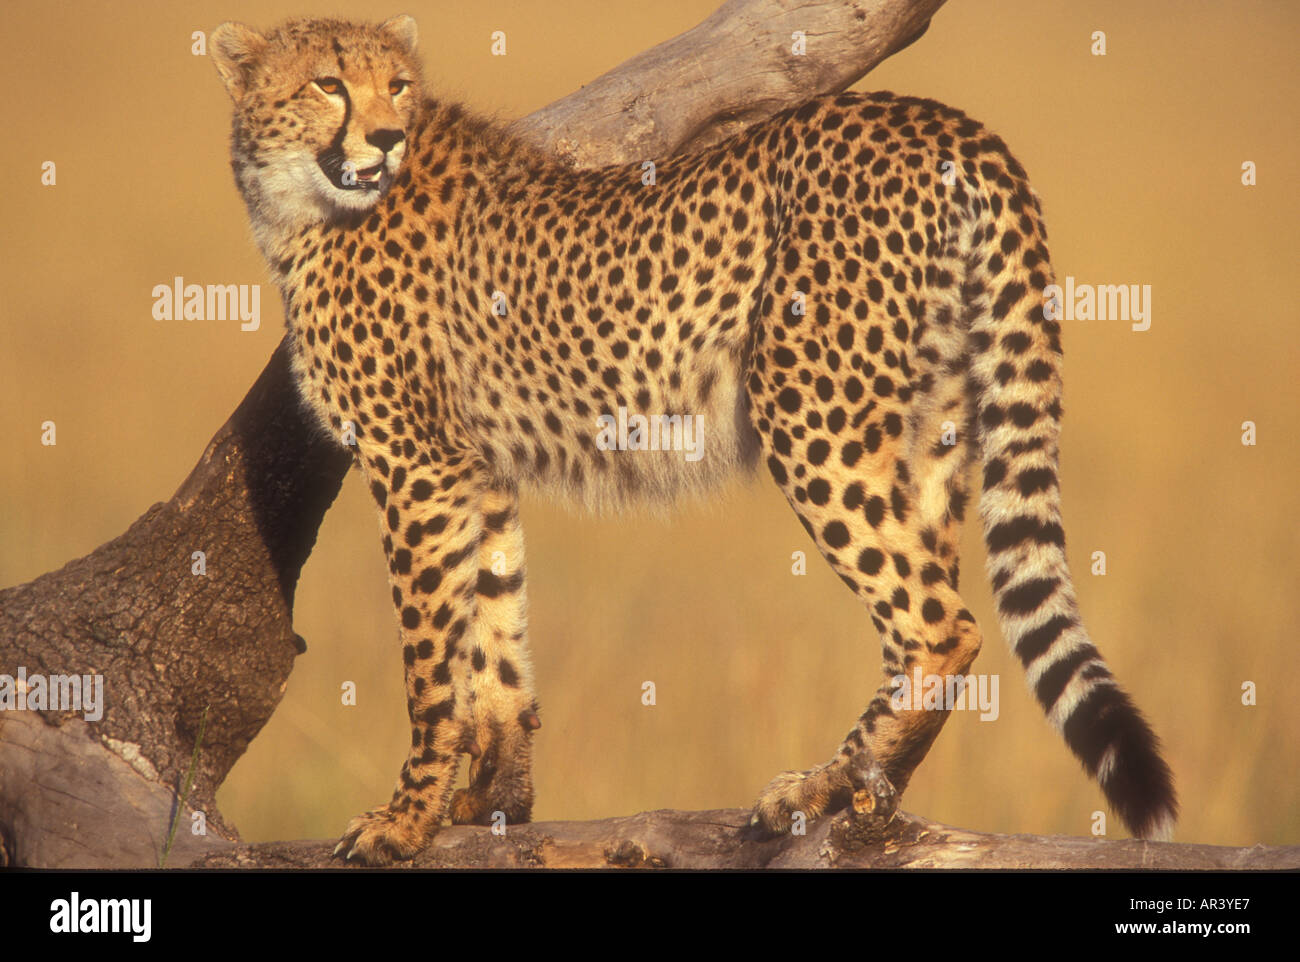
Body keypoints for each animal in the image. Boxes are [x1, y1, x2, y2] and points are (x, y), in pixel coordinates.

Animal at [210, 14, 1177, 863]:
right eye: (329, 84)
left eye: (398, 87)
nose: (383, 139)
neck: (306, 203)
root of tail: (935, 117)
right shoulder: (473, 468)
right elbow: (494, 633)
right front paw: (490, 800)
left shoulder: (415, 466)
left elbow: (431, 662)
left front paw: (405, 819)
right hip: (932, 424)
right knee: (931, 606)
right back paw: (851, 788)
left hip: (809, 409)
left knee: (941, 623)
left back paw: (827, 789)